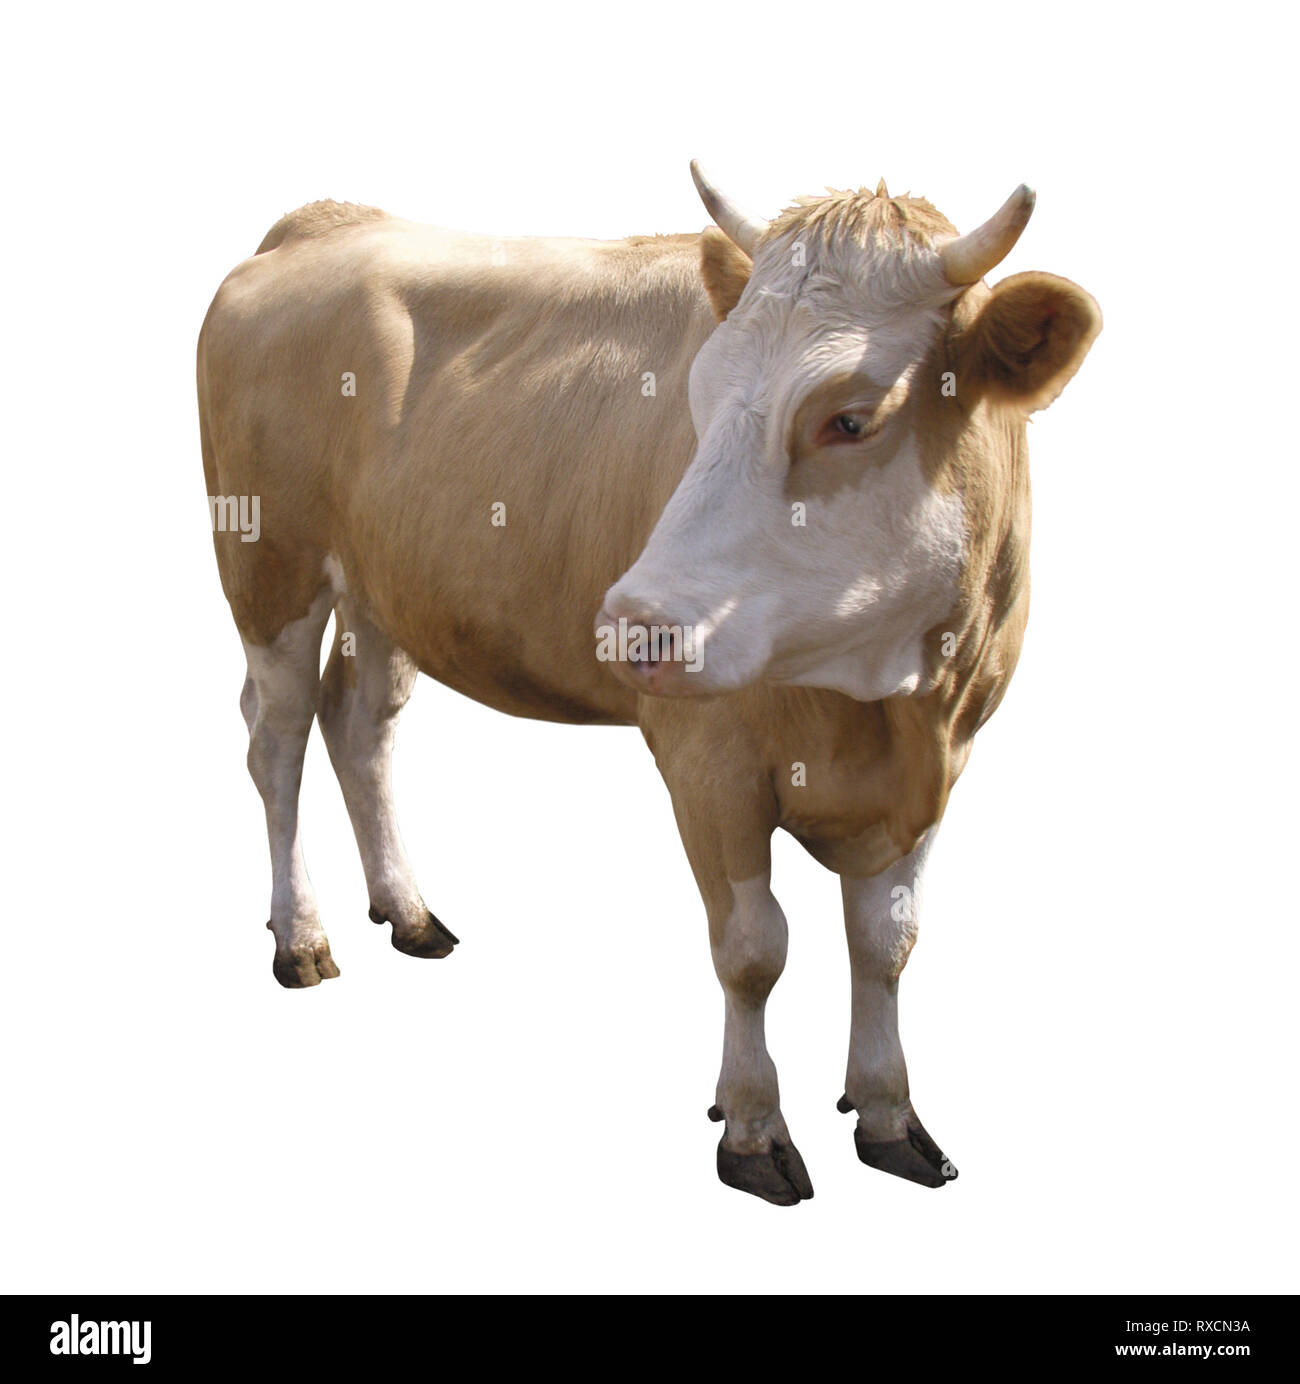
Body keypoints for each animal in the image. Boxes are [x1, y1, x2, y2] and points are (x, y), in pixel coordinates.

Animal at [197, 163, 1100, 1205]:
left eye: (850, 417)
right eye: (698, 400)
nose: (635, 624)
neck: (884, 706)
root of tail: (321, 224)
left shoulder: (938, 766)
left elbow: (888, 943)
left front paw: (888, 1114)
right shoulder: (710, 764)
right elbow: (753, 950)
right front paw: (751, 1128)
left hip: (386, 587)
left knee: (361, 726)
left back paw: (409, 912)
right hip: (269, 566)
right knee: (278, 742)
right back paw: (299, 936)